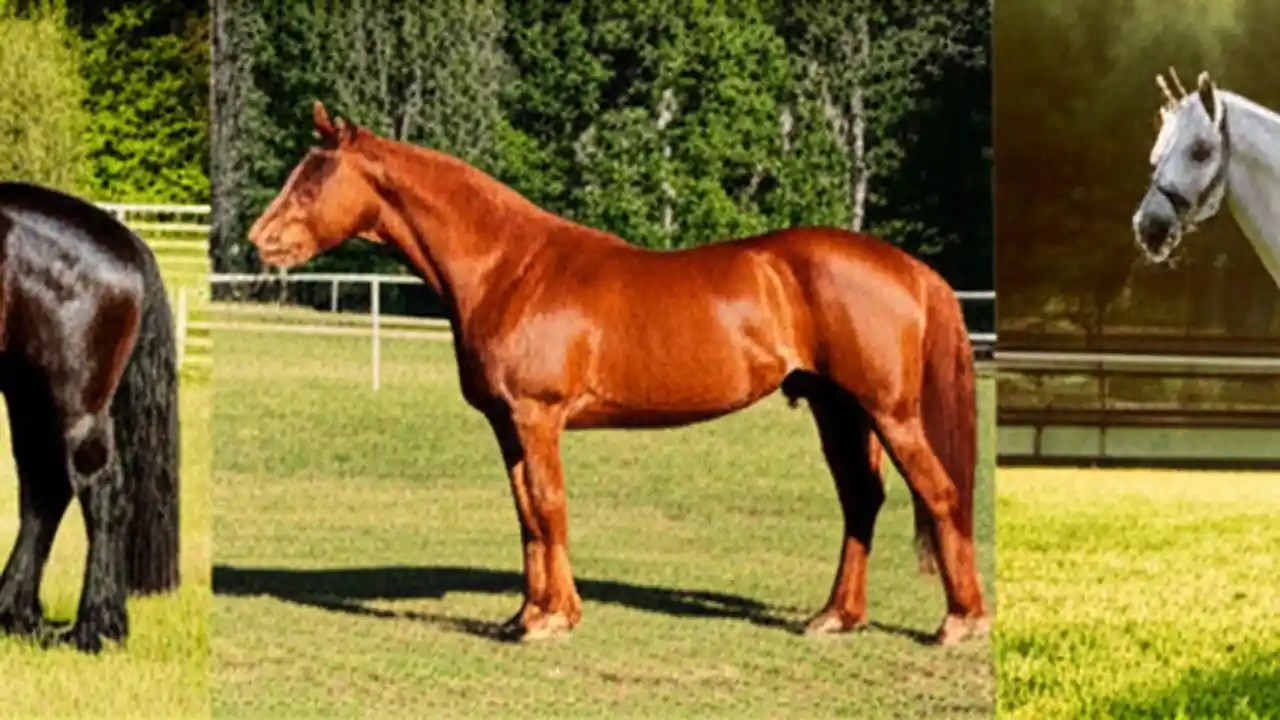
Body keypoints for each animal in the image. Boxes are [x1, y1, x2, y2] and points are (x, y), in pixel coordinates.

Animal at [0, 182, 181, 653]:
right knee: (45, 490)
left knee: (101, 490)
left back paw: (96, 627)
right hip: (29, 395)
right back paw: (15, 614)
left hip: (74, 403)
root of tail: (128, 244)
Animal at [247, 102, 988, 645]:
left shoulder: (538, 416)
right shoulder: (508, 426)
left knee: (940, 495)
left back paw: (960, 621)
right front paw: (524, 613)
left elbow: (550, 504)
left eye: (312, 177)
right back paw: (836, 616)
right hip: (838, 410)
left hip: (889, 412)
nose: (260, 241)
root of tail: (910, 268)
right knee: (861, 501)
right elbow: (525, 512)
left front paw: (554, 618)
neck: (509, 267)